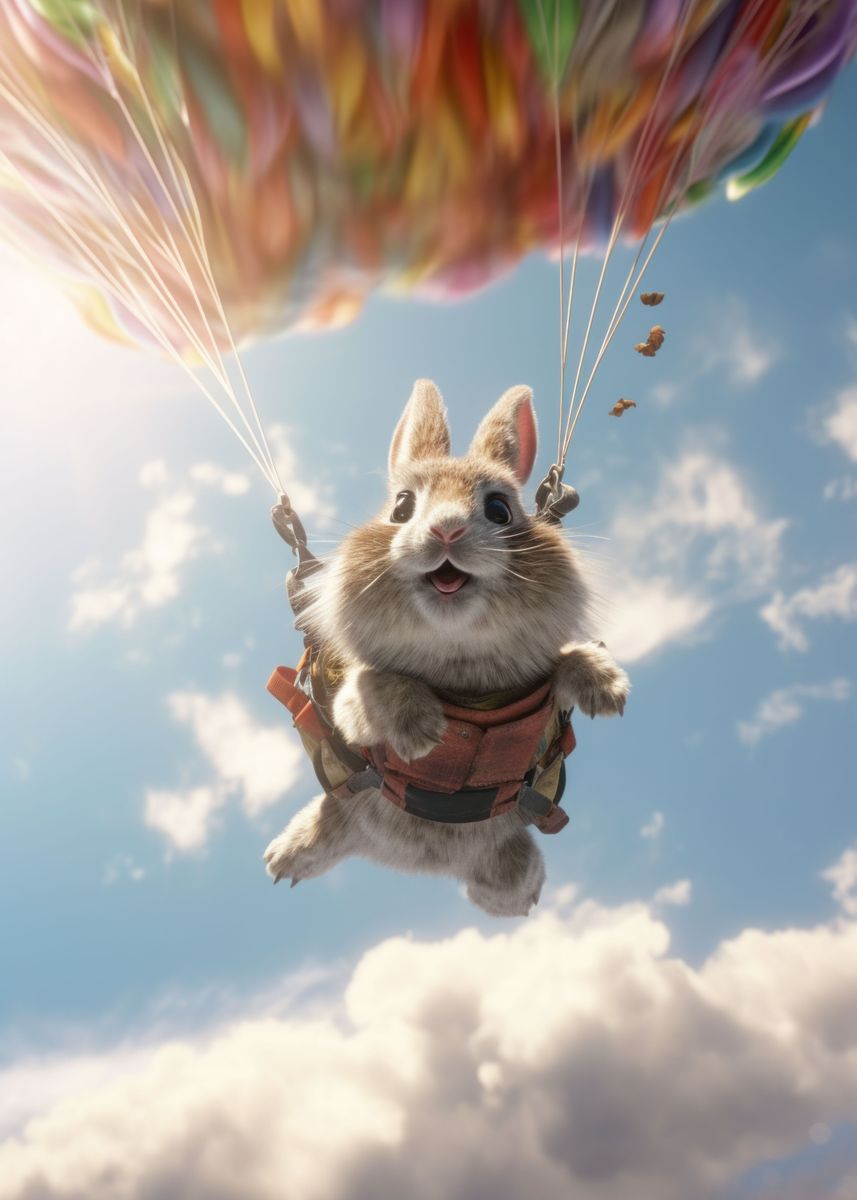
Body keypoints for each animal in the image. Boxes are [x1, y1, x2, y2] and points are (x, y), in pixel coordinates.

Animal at [263, 379, 629, 917]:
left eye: (499, 510)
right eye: (401, 508)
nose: (447, 530)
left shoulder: (546, 693)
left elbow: (569, 662)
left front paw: (609, 691)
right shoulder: (354, 706)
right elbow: (375, 683)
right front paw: (421, 732)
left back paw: (519, 900)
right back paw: (282, 860)